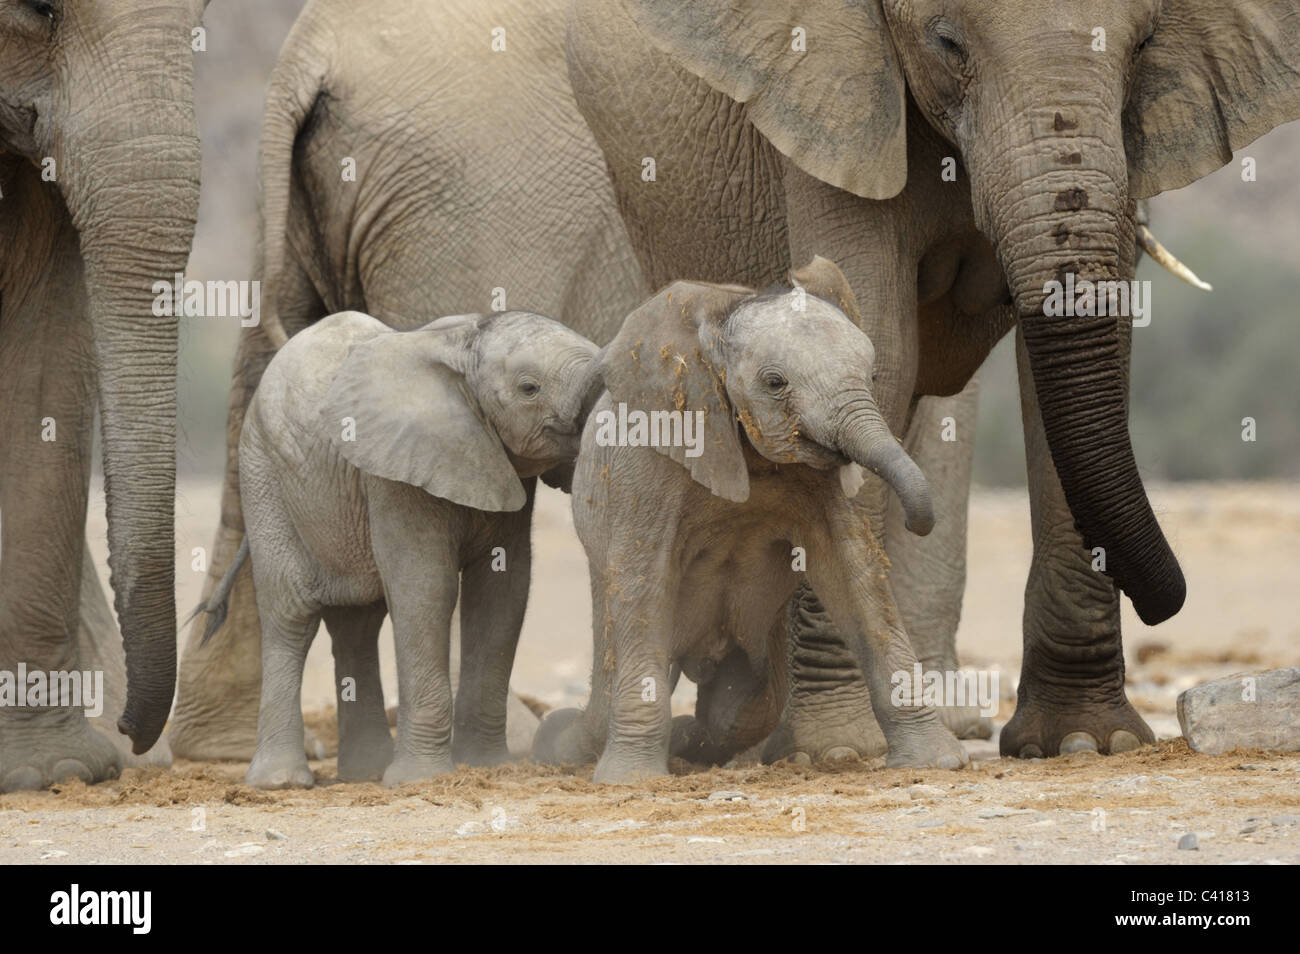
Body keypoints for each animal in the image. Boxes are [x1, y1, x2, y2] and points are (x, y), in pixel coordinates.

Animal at [193, 309, 600, 788]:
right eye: (529, 388)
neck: (461, 349)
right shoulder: (394, 473)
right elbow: (426, 587)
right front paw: (419, 780)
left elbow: (503, 592)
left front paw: (487, 767)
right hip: (263, 473)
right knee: (291, 614)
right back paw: (283, 782)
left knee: (357, 621)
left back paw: (364, 774)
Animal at [535, 258, 971, 782]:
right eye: (775, 382)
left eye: (870, 374)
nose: (916, 522)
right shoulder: (650, 455)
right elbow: (644, 579)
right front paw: (631, 781)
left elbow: (854, 572)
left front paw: (940, 762)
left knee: (747, 703)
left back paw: (688, 735)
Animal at [564, 0, 1300, 759]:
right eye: (946, 43)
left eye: (1146, 46)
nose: (1166, 604)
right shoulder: (831, 97)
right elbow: (881, 334)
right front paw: (837, 752)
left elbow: (1088, 358)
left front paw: (1087, 743)